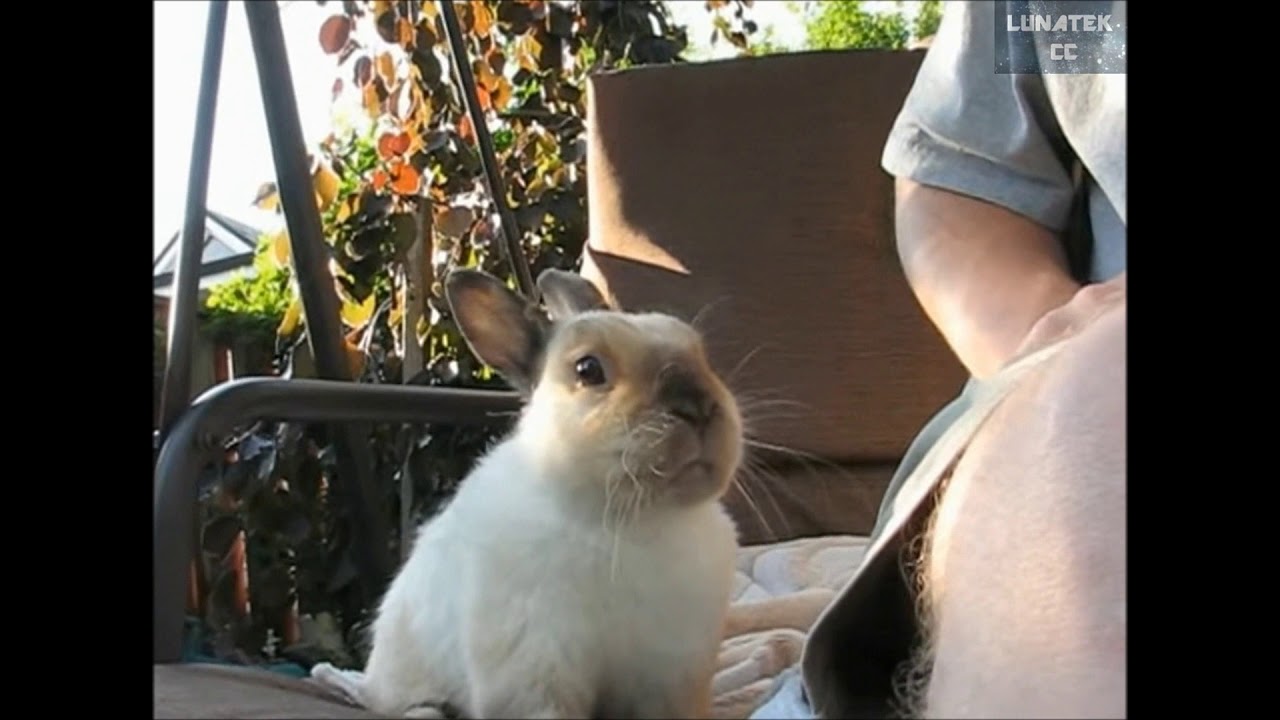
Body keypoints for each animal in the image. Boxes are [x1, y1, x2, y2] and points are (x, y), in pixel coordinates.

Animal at [318, 268, 745, 719]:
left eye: (701, 354)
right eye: (588, 369)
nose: (698, 407)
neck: (632, 523)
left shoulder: (672, 678)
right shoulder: (534, 675)